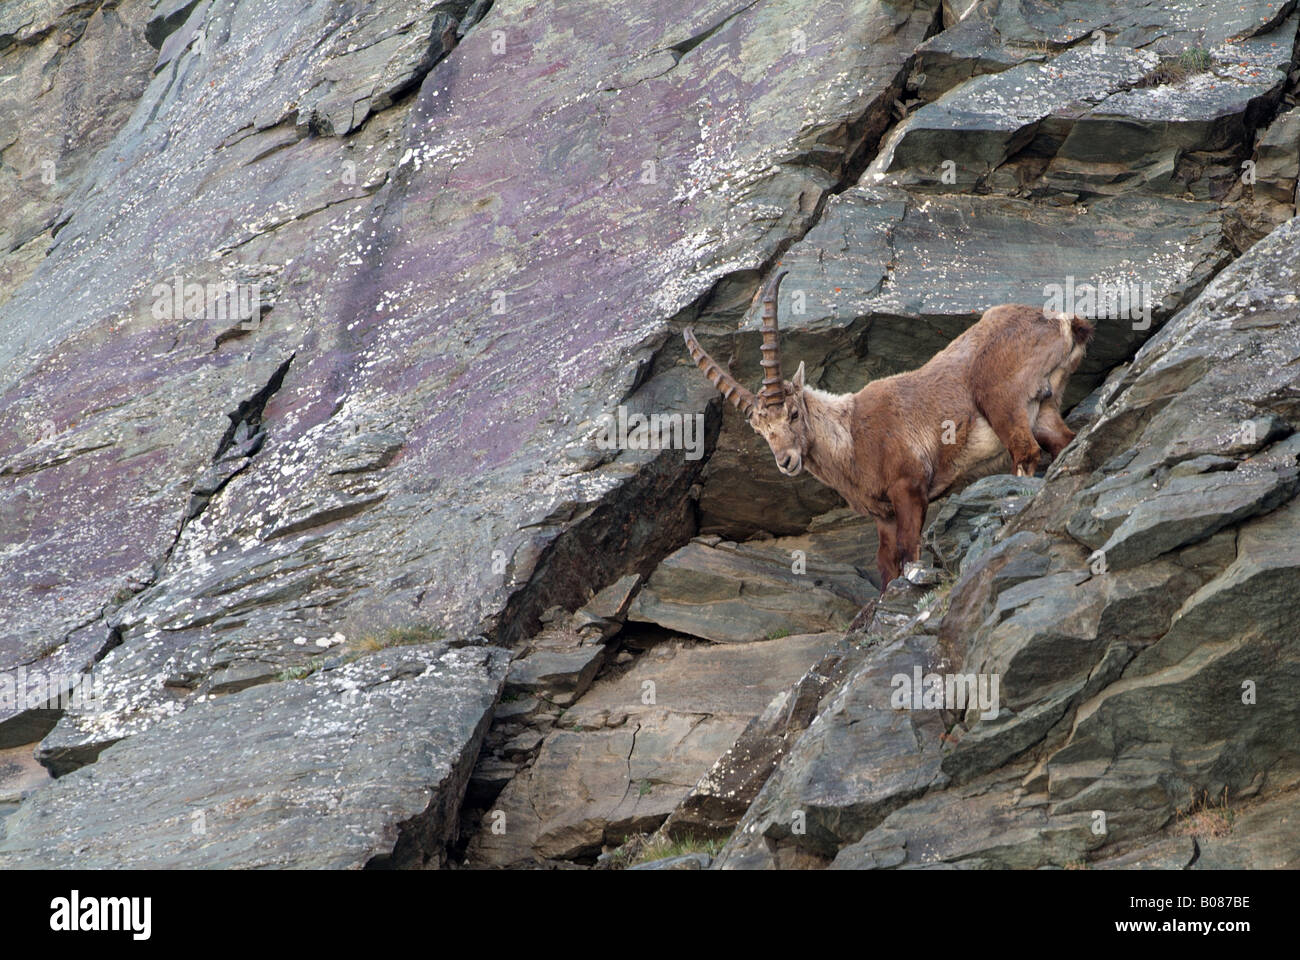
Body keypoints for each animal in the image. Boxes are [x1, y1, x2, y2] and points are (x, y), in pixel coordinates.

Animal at [683, 270, 1093, 587]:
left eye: (794, 414)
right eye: (760, 429)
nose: (785, 461)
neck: (850, 437)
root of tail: (1063, 322)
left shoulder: (909, 487)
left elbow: (909, 548)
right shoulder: (882, 514)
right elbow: (886, 561)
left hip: (1003, 401)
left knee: (1026, 453)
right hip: (1044, 408)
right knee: (1063, 441)